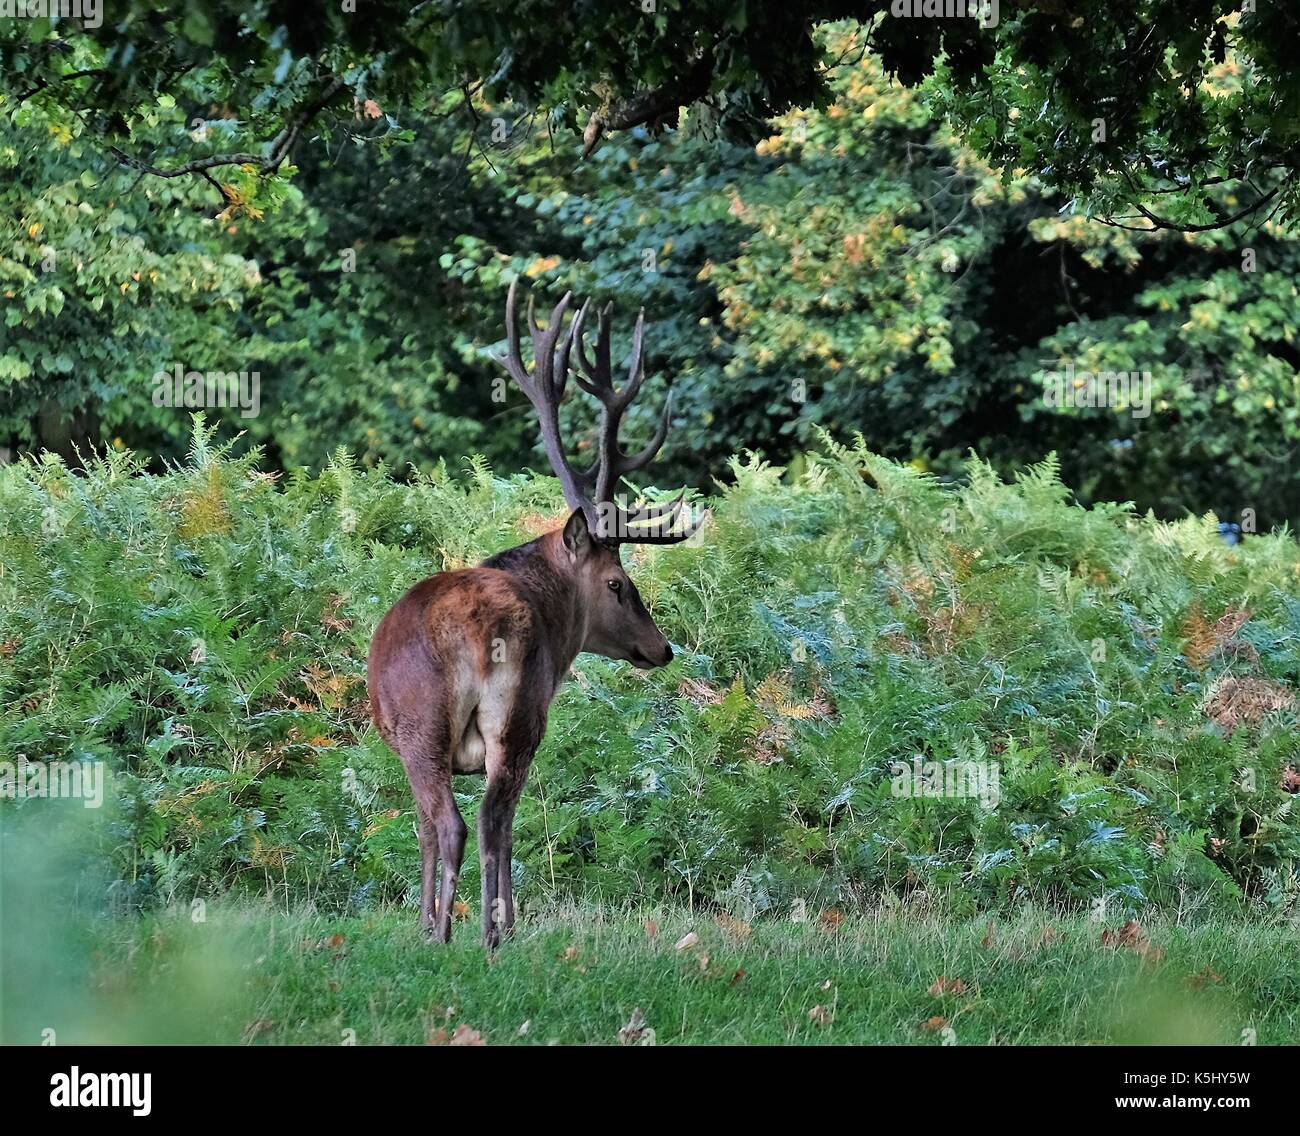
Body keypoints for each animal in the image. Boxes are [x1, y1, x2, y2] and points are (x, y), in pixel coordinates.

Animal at [367, 280, 702, 948]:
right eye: (619, 584)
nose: (664, 648)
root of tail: (475, 635)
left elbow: (428, 830)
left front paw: (432, 922)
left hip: (444, 723)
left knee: (468, 821)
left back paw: (465, 934)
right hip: (505, 719)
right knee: (487, 818)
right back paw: (484, 932)